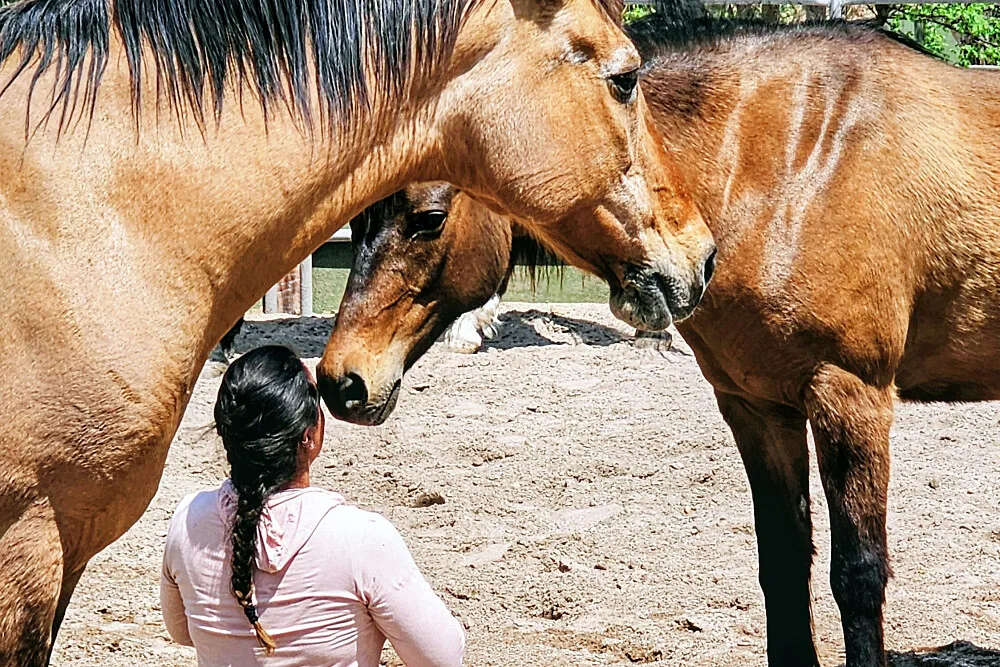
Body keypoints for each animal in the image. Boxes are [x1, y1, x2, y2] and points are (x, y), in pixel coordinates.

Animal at [318, 16, 1000, 667]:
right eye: (359, 217)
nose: (341, 380)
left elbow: (858, 575)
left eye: (428, 219)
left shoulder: (851, 399)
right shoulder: (758, 406)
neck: (793, 158)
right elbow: (782, 565)